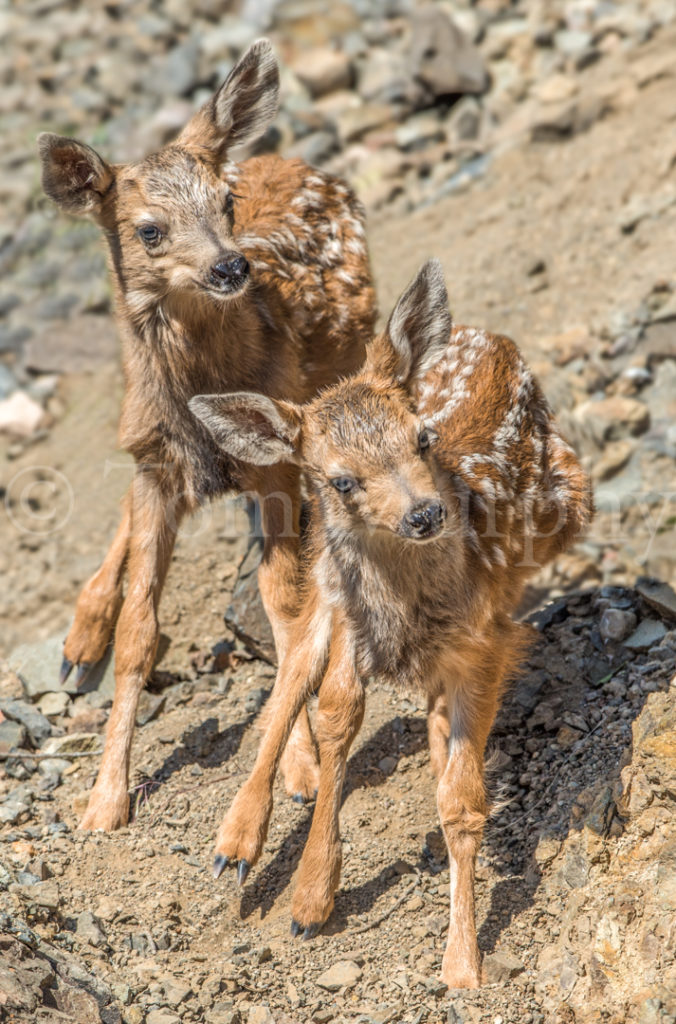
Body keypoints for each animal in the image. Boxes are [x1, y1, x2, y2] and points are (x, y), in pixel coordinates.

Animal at [37, 39, 375, 833]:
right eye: (148, 229)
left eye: (225, 204)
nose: (230, 265)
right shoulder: (156, 466)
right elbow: (139, 633)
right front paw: (104, 801)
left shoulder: (277, 467)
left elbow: (283, 604)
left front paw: (299, 771)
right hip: (141, 441)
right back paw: (79, 642)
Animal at [190, 259, 593, 989]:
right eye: (340, 480)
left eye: (423, 438)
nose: (425, 514)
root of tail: (486, 335)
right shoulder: (352, 617)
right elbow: (333, 712)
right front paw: (310, 897)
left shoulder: (482, 643)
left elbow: (459, 801)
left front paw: (461, 962)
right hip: (327, 579)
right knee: (294, 675)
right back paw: (234, 845)